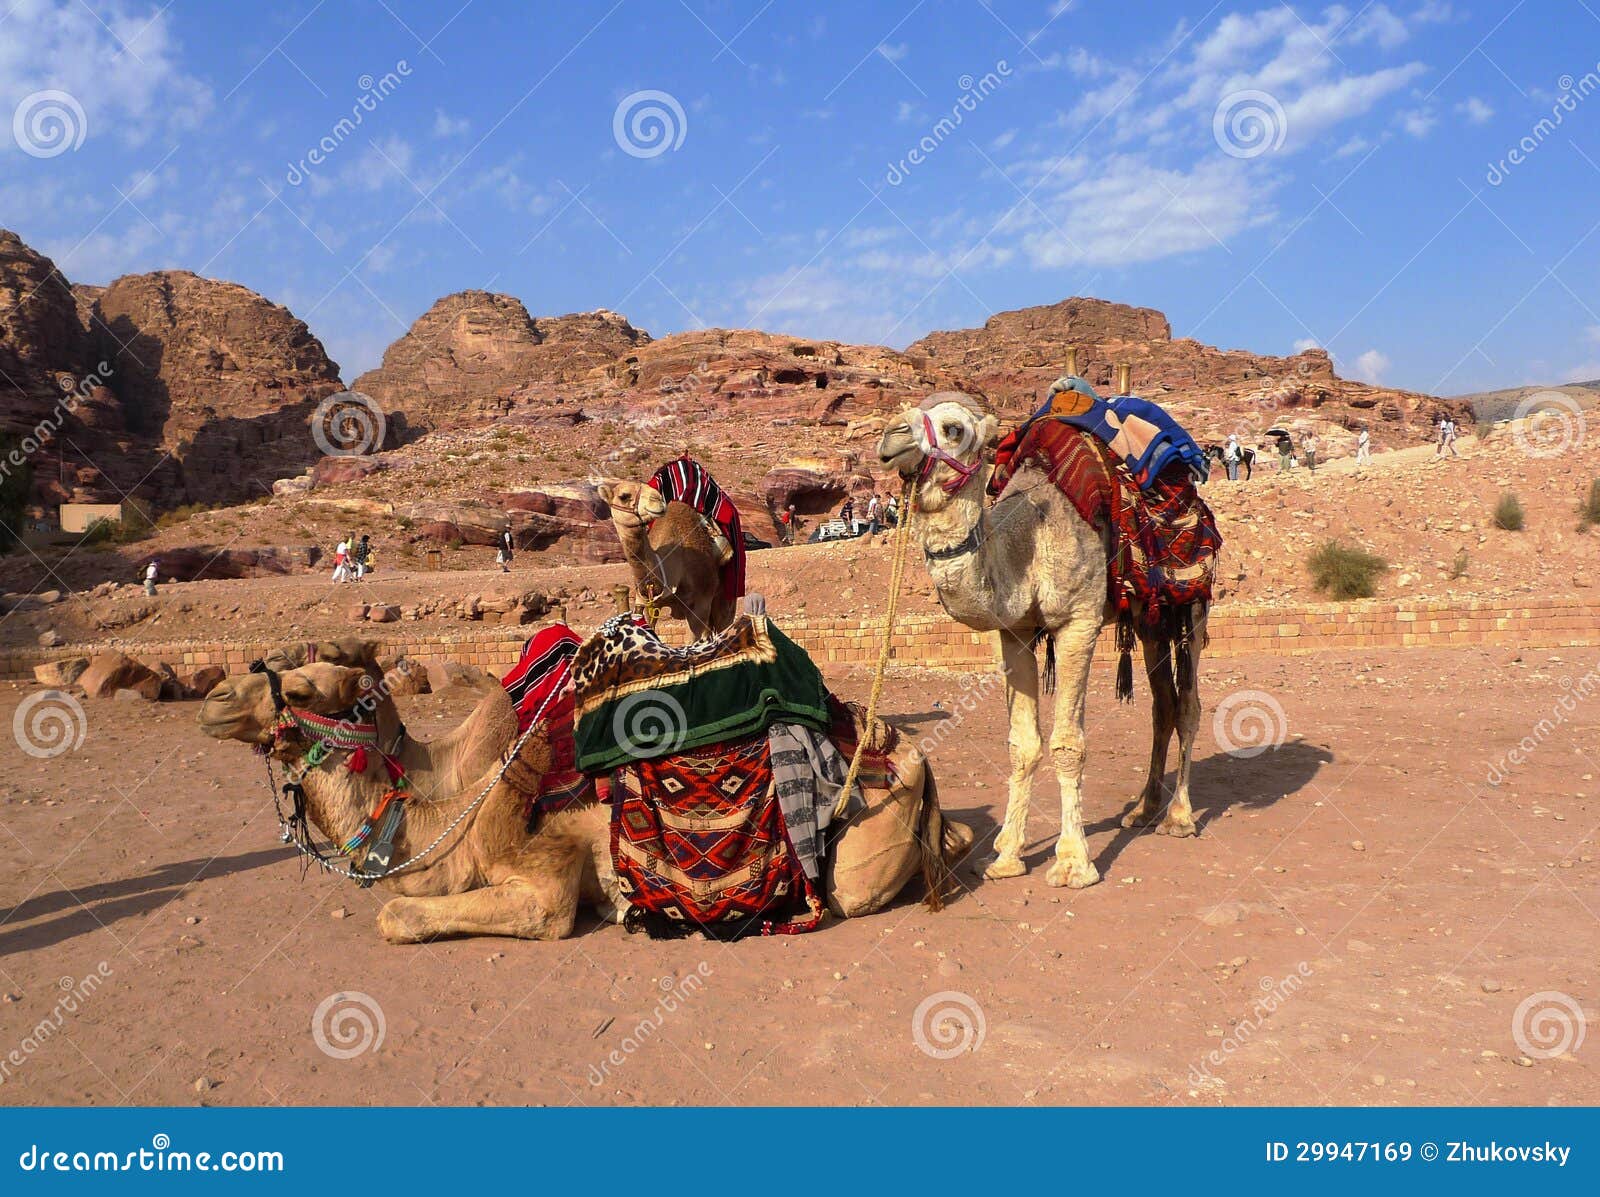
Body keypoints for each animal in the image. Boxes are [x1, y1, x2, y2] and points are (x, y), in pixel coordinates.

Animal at [877, 392, 1206, 890]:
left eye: (954, 429)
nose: (890, 438)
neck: (1024, 547)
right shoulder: (1014, 632)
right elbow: (1023, 745)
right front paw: (1007, 856)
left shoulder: (1079, 621)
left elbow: (1068, 744)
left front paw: (1073, 863)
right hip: (1149, 618)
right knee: (1162, 704)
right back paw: (1142, 809)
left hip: (1193, 603)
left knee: (1188, 703)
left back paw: (1180, 817)